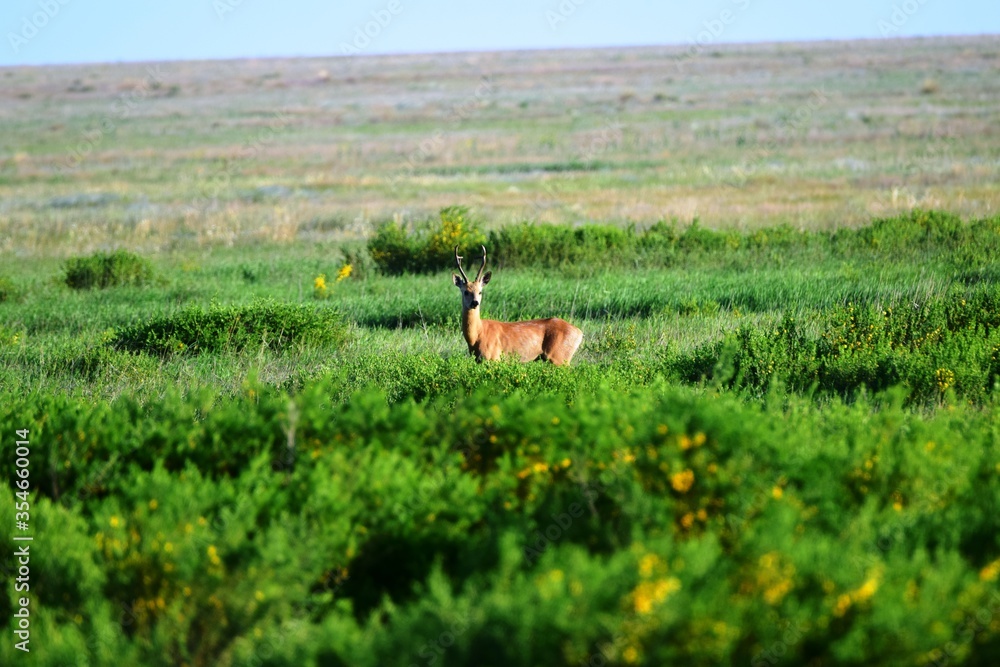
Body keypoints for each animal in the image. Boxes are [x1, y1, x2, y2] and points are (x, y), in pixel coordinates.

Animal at [453, 245, 583, 365]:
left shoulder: (494, 358)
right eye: (465, 291)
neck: (477, 336)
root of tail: (579, 332)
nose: (475, 302)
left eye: (480, 292)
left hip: (559, 357)